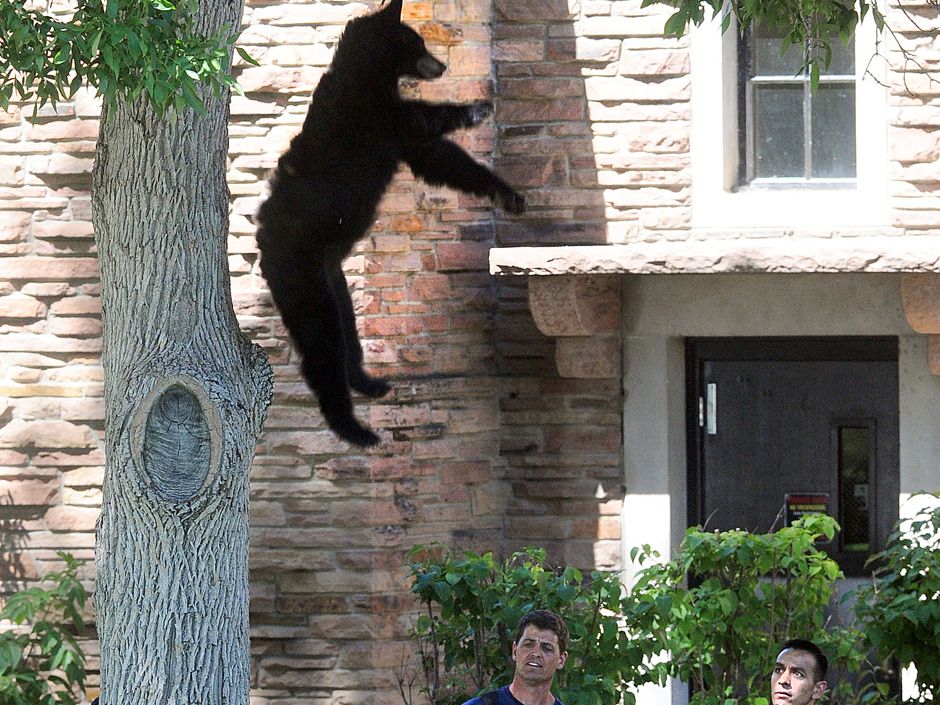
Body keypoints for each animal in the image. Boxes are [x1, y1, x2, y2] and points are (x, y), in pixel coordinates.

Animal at [255, 0, 525, 448]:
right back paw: (356, 429)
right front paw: (474, 108)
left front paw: (509, 195)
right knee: (322, 346)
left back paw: (369, 382)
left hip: (334, 280)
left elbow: (439, 158)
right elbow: (419, 120)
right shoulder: (370, 114)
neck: (366, 74)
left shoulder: (392, 130)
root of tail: (262, 237)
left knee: (347, 332)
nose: (441, 65)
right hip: (302, 276)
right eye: (417, 42)